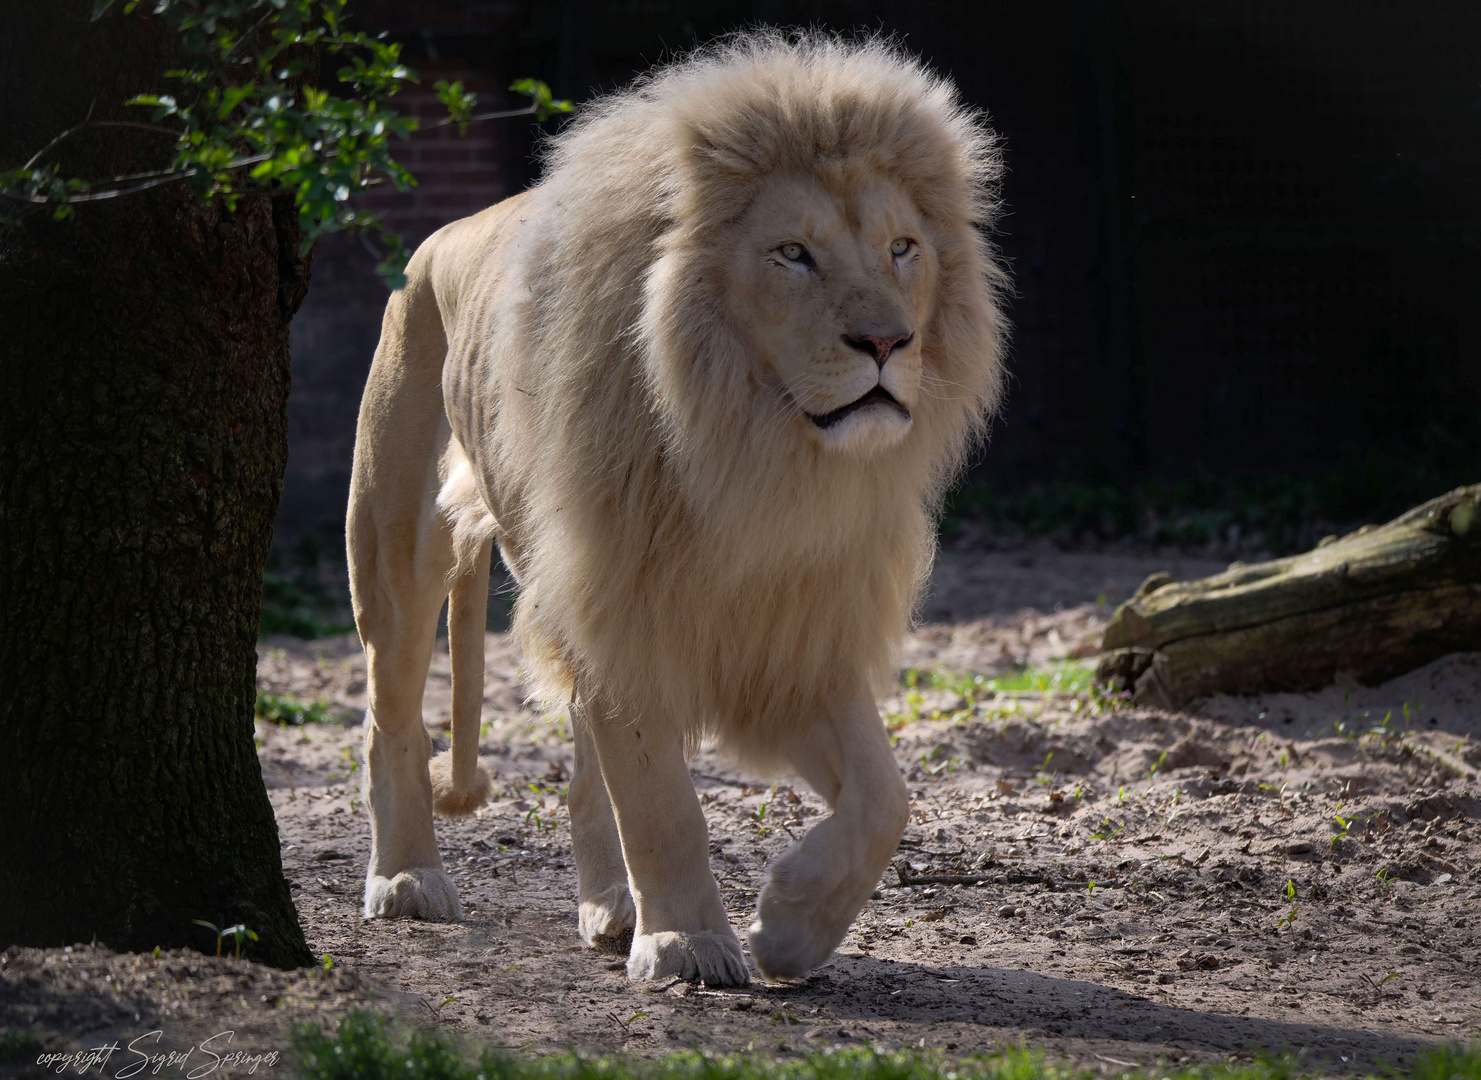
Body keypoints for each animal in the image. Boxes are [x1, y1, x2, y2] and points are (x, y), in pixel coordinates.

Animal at [346, 31, 1007, 983]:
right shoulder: (621, 596)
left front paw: (788, 926)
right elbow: (660, 801)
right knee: (389, 716)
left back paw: (609, 909)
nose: (887, 341)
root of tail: (437, 240)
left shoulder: (791, 634)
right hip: (397, 547)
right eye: (792, 253)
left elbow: (886, 797)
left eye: (902, 247)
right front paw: (688, 943)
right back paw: (404, 880)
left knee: (580, 767)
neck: (754, 454)